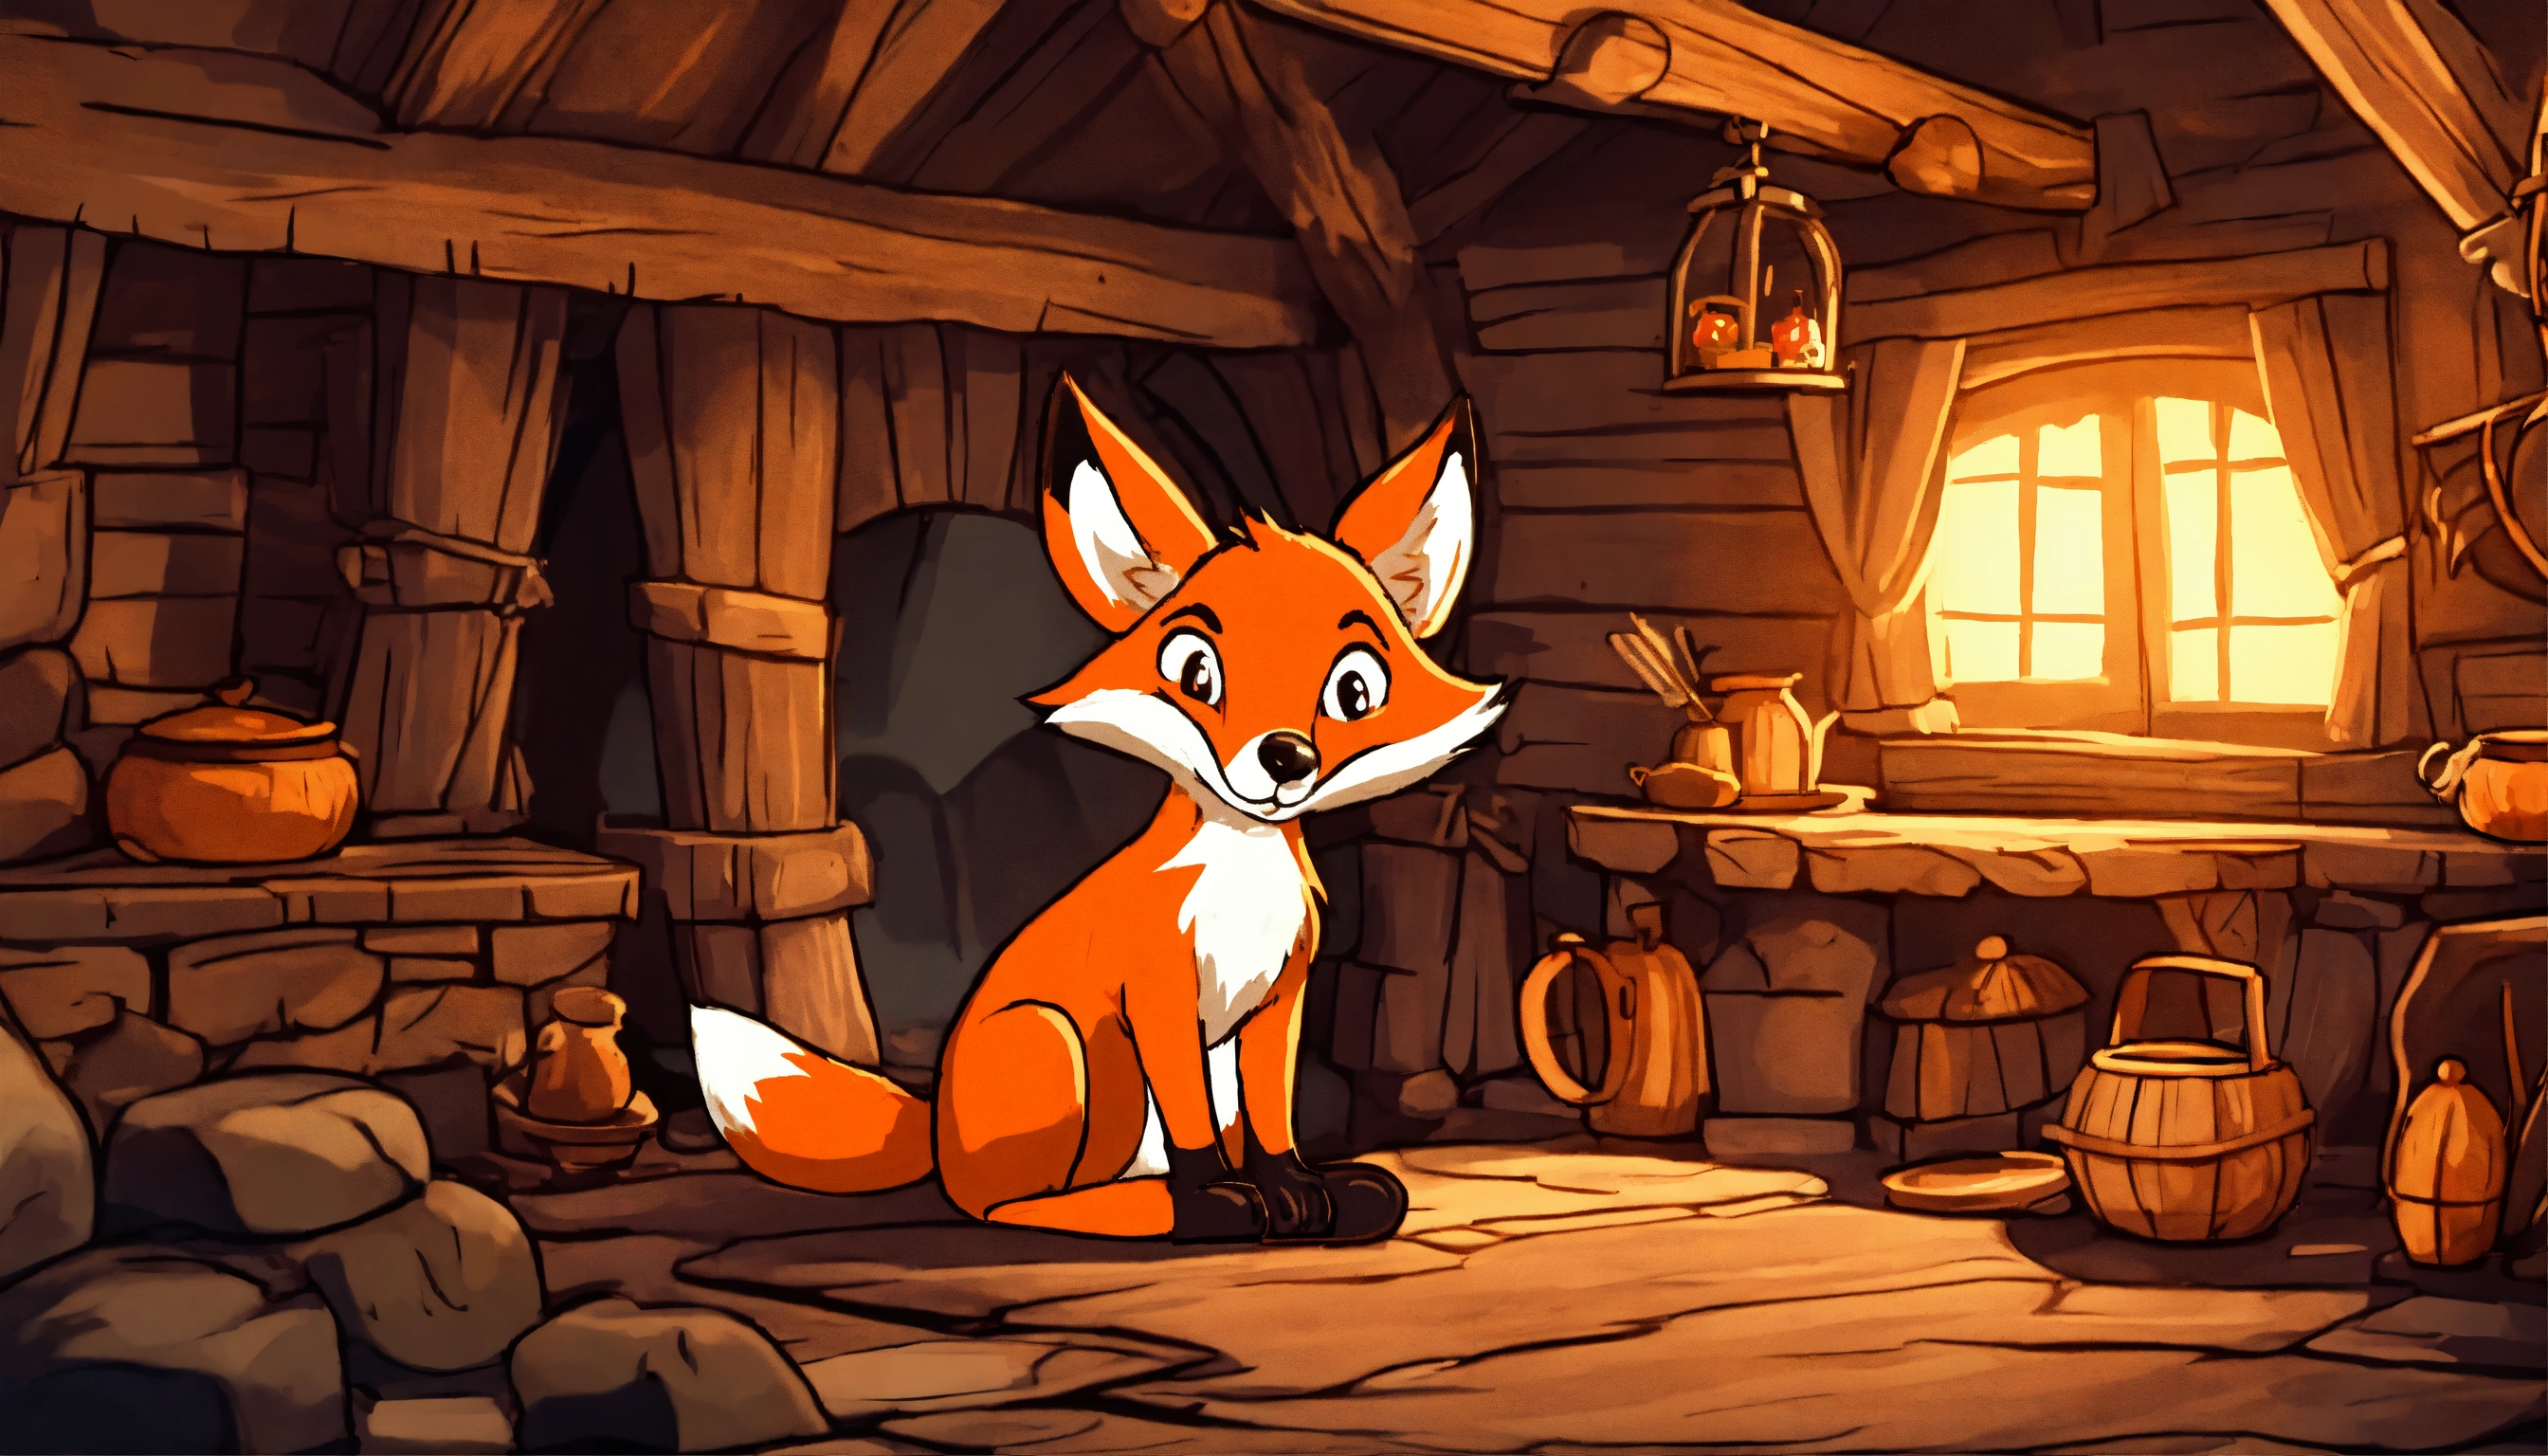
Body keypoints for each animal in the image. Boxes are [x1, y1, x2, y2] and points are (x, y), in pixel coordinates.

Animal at [688, 374, 1505, 1243]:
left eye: (1355, 689)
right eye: (1196, 671)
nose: (1286, 758)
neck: (1239, 885)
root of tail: (935, 1129)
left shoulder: (1276, 1002)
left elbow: (1272, 1120)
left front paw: (1300, 1191)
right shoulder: (1157, 997)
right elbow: (1191, 1129)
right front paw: (1220, 1197)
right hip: (1055, 1045)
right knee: (1010, 1207)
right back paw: (1171, 1208)